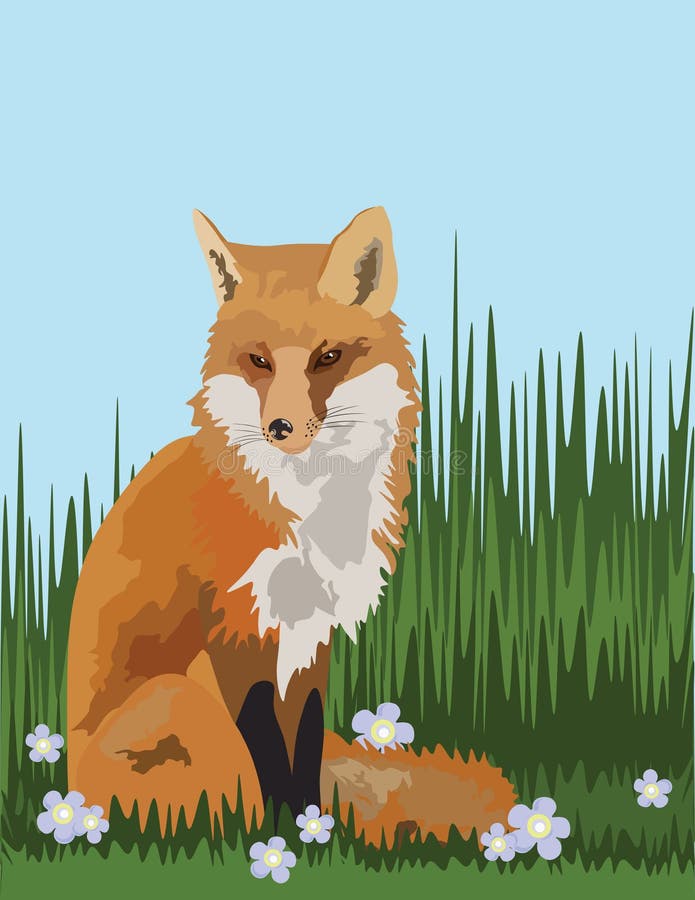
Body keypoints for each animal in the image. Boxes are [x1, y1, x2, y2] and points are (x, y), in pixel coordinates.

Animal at [66, 207, 515, 845]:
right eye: (260, 361)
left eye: (327, 358)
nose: (280, 428)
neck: (305, 514)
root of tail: (71, 791)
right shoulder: (234, 629)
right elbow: (263, 750)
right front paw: (283, 834)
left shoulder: (310, 635)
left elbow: (303, 738)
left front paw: (311, 826)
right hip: (179, 698)